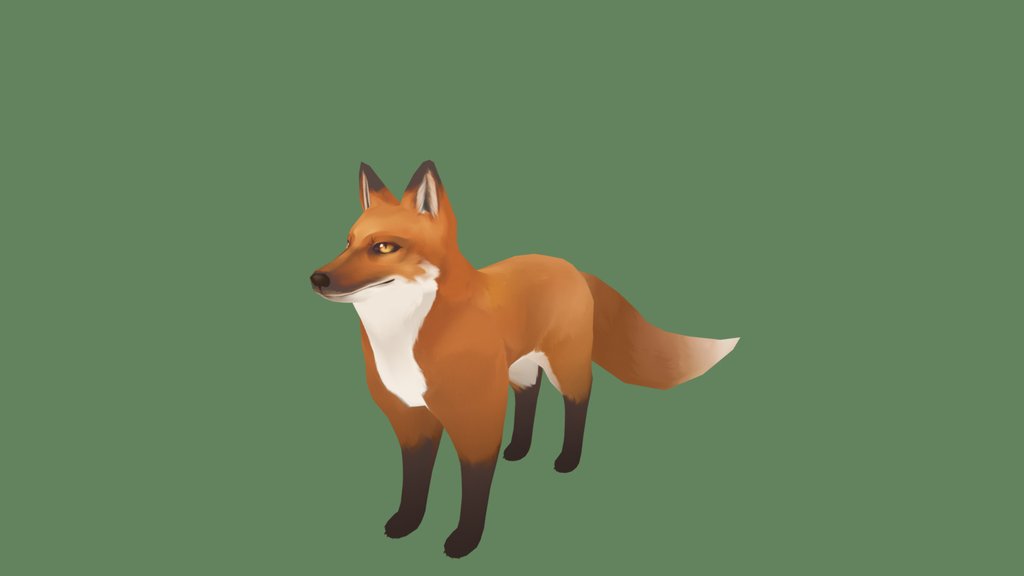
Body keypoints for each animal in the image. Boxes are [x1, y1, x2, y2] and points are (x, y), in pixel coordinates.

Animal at [310, 161, 738, 558]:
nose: (317, 278)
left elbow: (474, 487)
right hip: (518, 369)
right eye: (346, 242)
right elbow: (414, 484)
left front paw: (465, 540)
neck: (404, 341)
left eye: (384, 247)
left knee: (580, 398)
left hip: (564, 368)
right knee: (530, 395)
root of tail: (568, 265)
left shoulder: (475, 418)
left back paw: (568, 459)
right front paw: (407, 523)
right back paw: (518, 448)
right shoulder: (410, 419)